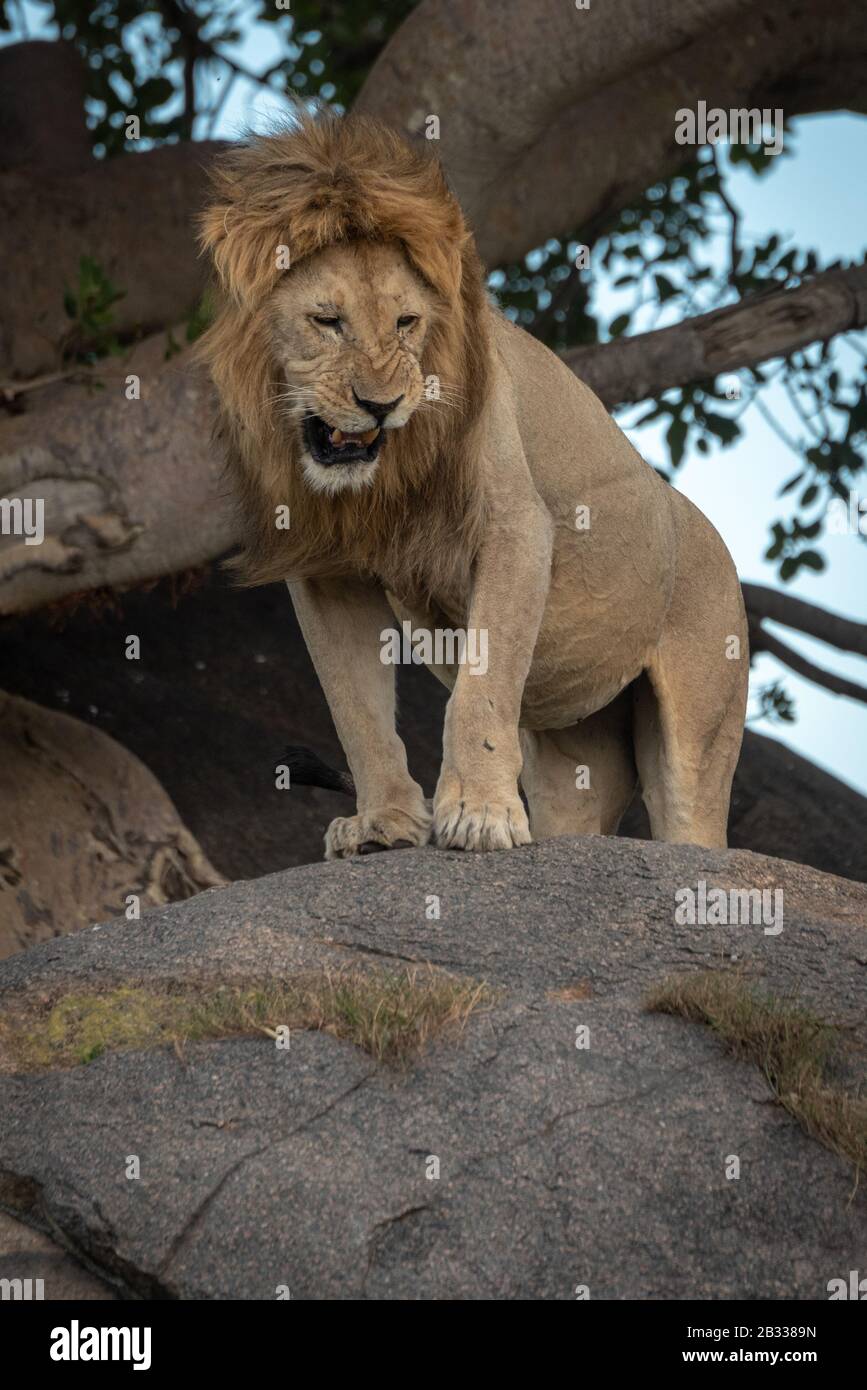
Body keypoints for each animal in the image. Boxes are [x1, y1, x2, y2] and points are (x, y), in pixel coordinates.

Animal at [198, 112, 748, 859]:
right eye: (327, 321)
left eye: (406, 322)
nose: (380, 405)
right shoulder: (327, 571)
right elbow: (354, 706)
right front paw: (383, 824)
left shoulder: (514, 527)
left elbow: (480, 688)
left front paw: (480, 815)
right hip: (576, 744)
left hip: (699, 724)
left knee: (691, 817)